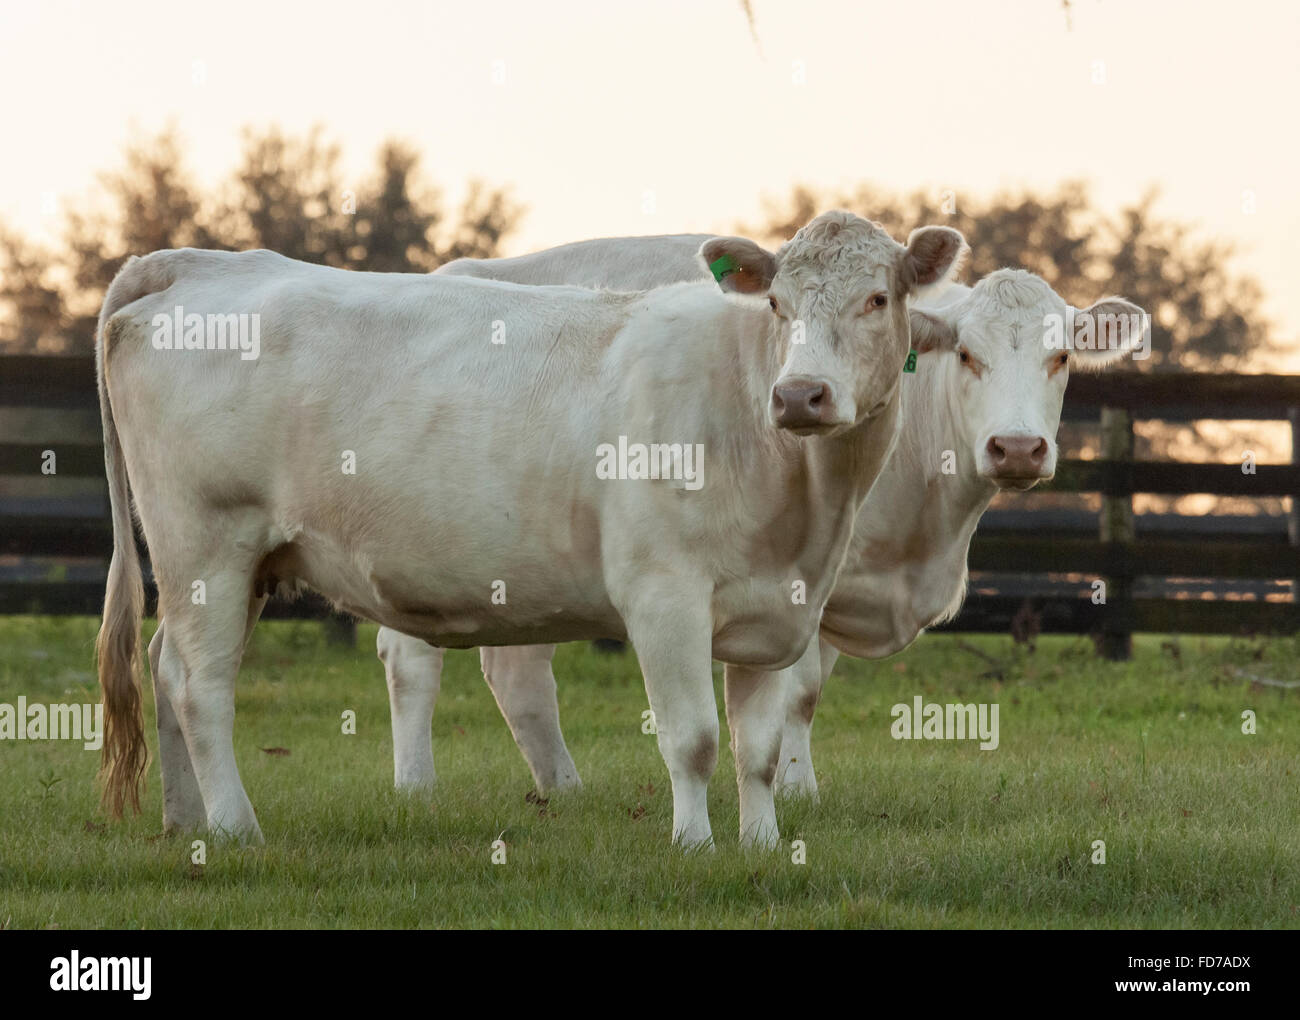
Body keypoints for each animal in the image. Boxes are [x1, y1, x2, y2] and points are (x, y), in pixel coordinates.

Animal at [95, 211, 968, 847]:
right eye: (779, 305)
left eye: (878, 299)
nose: (800, 395)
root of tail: (201, 261)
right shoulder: (664, 596)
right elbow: (692, 738)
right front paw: (695, 846)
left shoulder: (772, 608)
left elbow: (758, 750)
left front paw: (759, 847)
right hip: (208, 541)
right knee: (200, 686)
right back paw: (235, 828)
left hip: (235, 565)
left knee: (164, 664)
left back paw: (183, 821)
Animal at [377, 236, 1146, 824]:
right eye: (967, 356)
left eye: (1061, 358)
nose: (1016, 448)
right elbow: (797, 692)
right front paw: (799, 791)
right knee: (413, 661)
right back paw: (417, 788)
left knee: (519, 673)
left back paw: (564, 791)